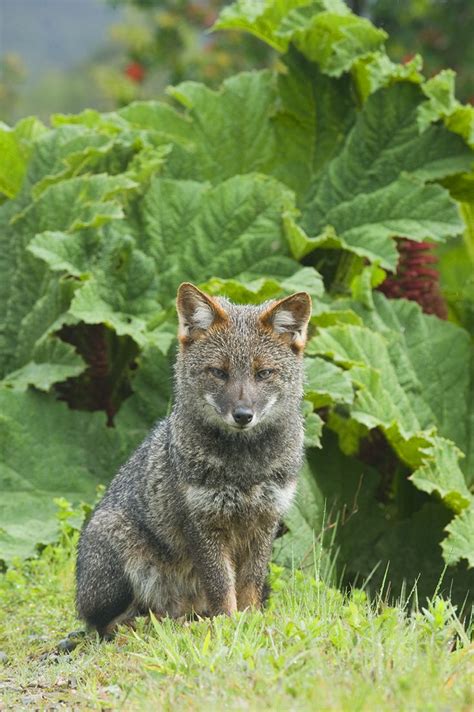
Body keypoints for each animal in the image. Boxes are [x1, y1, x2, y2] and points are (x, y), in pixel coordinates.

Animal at [76, 282, 312, 636]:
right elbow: (221, 586)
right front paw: (229, 626)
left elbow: (250, 586)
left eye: (263, 373)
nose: (243, 415)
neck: (244, 469)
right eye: (219, 373)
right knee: (104, 626)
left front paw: (251, 623)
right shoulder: (202, 523)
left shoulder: (265, 520)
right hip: (119, 557)